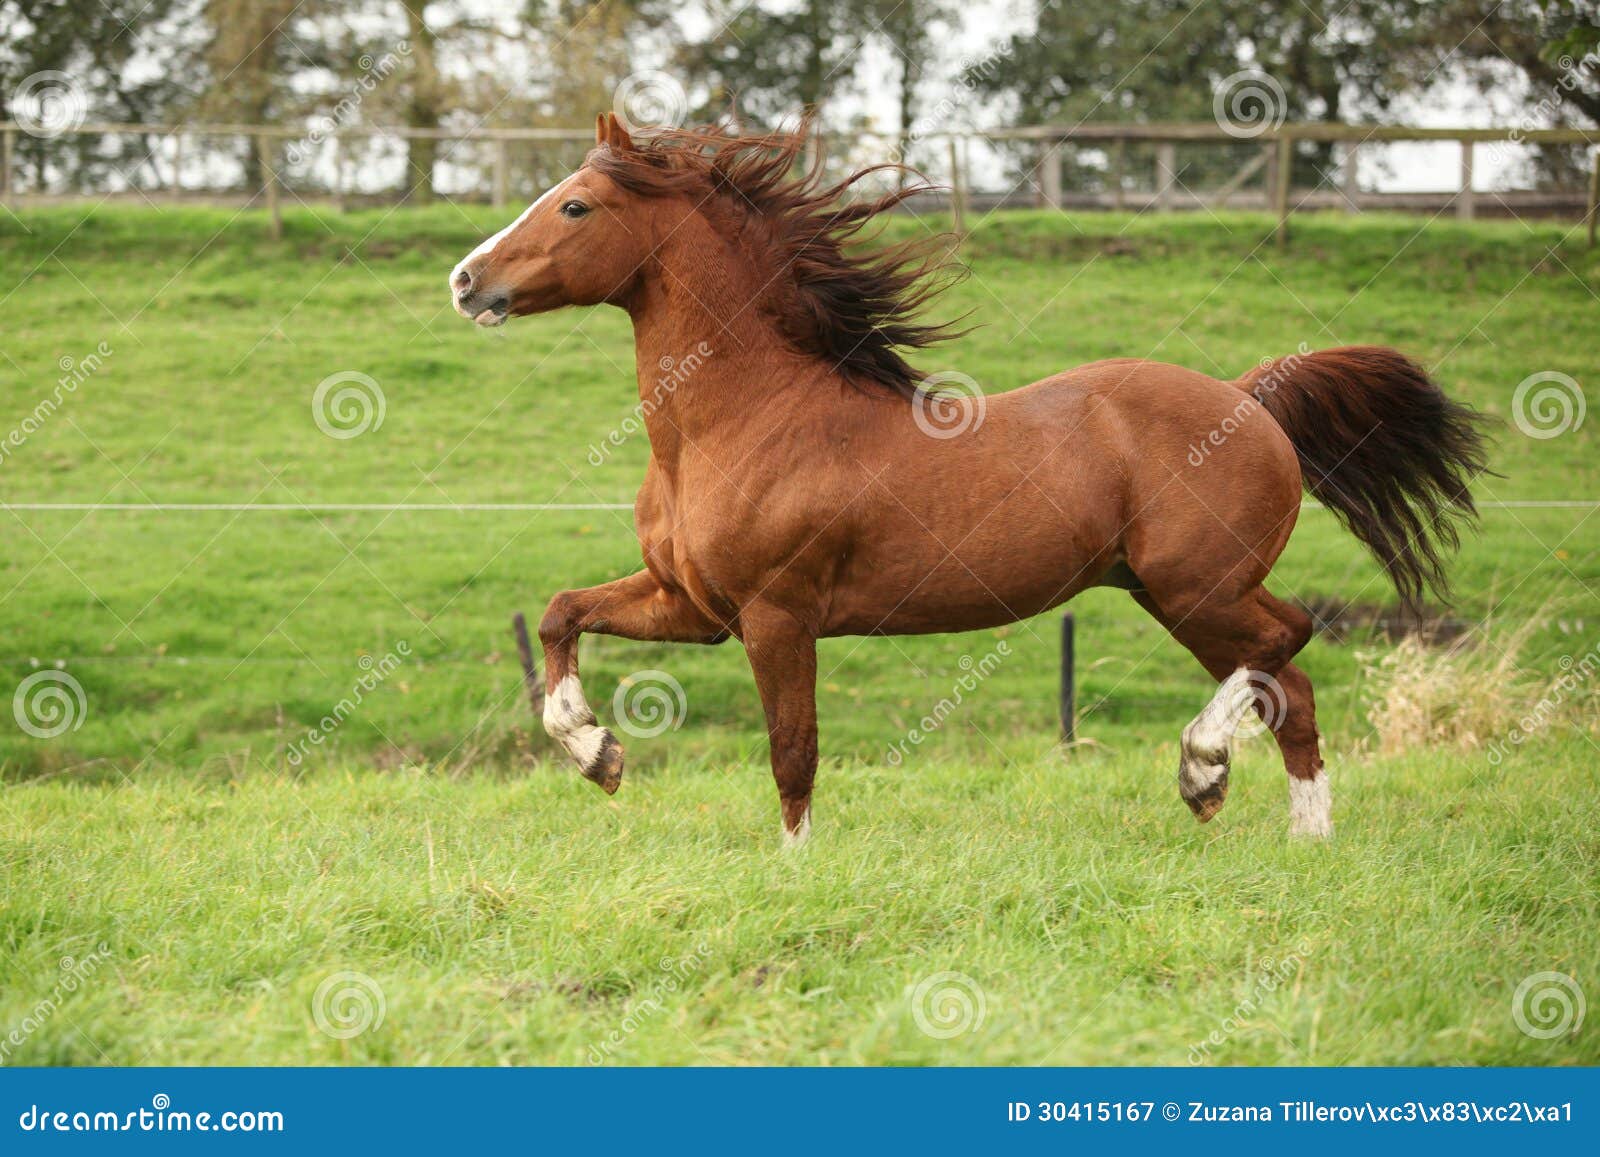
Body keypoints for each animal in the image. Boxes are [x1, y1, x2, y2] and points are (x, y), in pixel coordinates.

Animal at [449, 113, 1488, 846]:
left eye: (575, 207)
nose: (465, 280)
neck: (738, 421)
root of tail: (1248, 398)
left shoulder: (776, 615)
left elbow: (794, 753)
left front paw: (795, 869)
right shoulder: (693, 604)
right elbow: (562, 612)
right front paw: (597, 752)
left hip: (1201, 585)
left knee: (1289, 640)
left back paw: (1202, 771)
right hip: (1173, 594)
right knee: (1293, 691)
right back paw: (1303, 840)